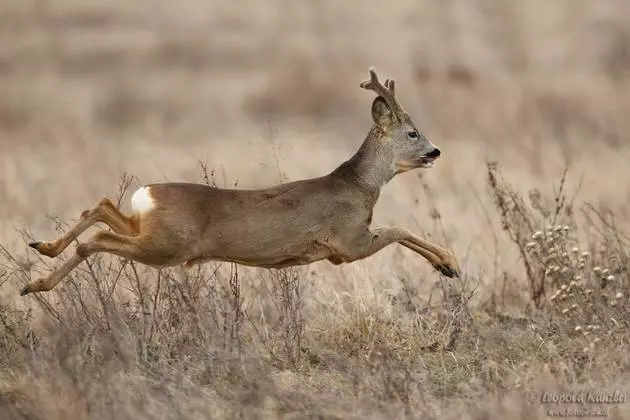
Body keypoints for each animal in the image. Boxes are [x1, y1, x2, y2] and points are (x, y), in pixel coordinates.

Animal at [22, 66, 462, 296]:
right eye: (413, 133)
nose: (436, 151)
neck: (359, 187)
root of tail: (147, 194)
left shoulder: (348, 244)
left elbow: (400, 230)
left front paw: (448, 266)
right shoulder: (347, 242)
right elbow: (399, 229)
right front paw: (450, 264)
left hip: (150, 230)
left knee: (99, 207)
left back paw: (41, 254)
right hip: (166, 246)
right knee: (96, 239)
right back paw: (38, 282)